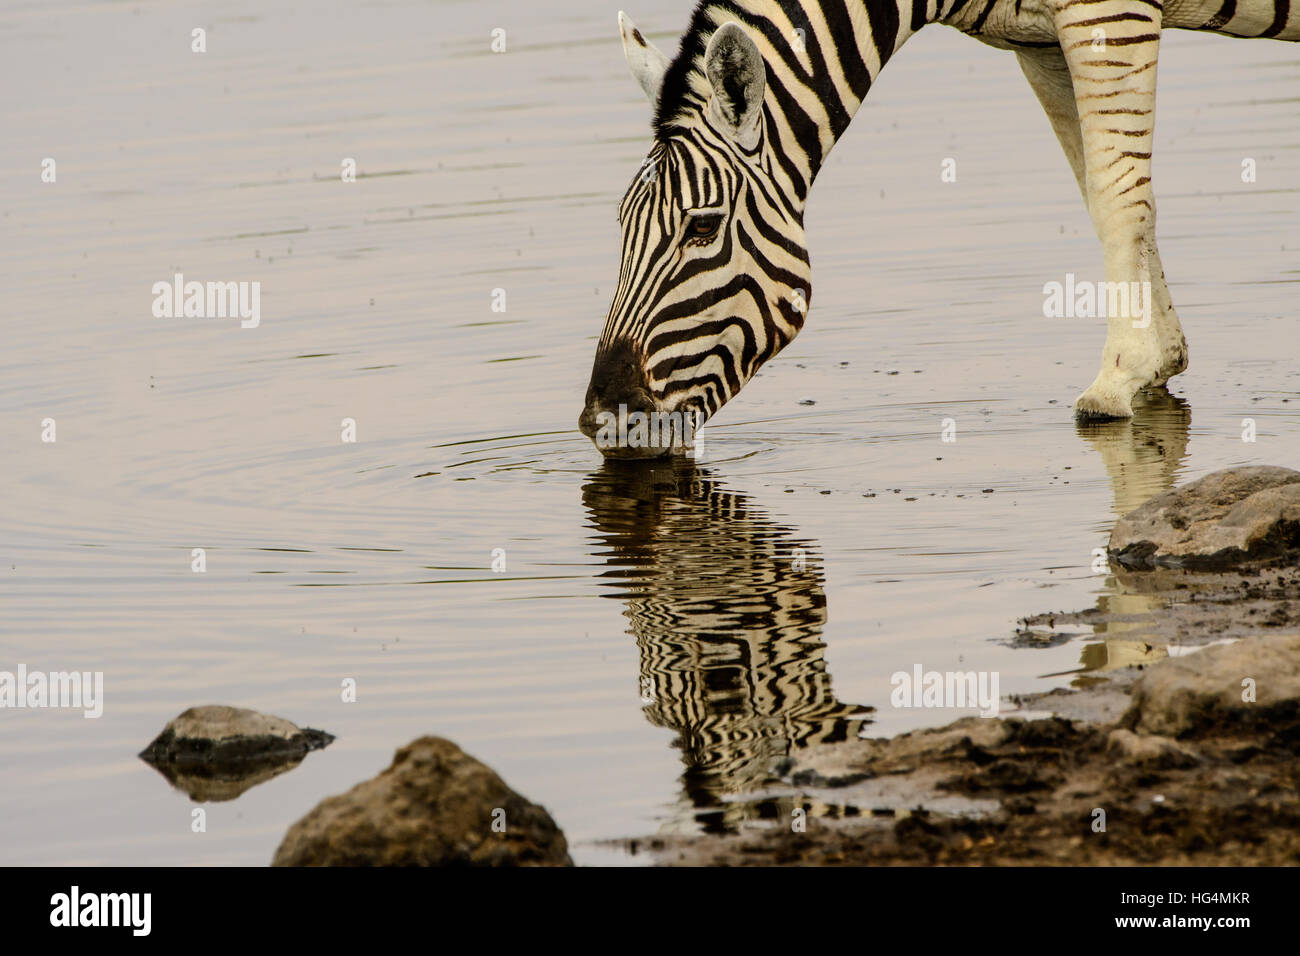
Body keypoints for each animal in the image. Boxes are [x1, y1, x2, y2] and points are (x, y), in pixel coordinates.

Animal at [578, 1, 1299, 457]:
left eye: (701, 228)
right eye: (619, 225)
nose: (602, 423)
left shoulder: (1108, 14)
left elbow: (1119, 195)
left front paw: (1117, 376)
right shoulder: (1041, 40)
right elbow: (1097, 184)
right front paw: (1159, 355)